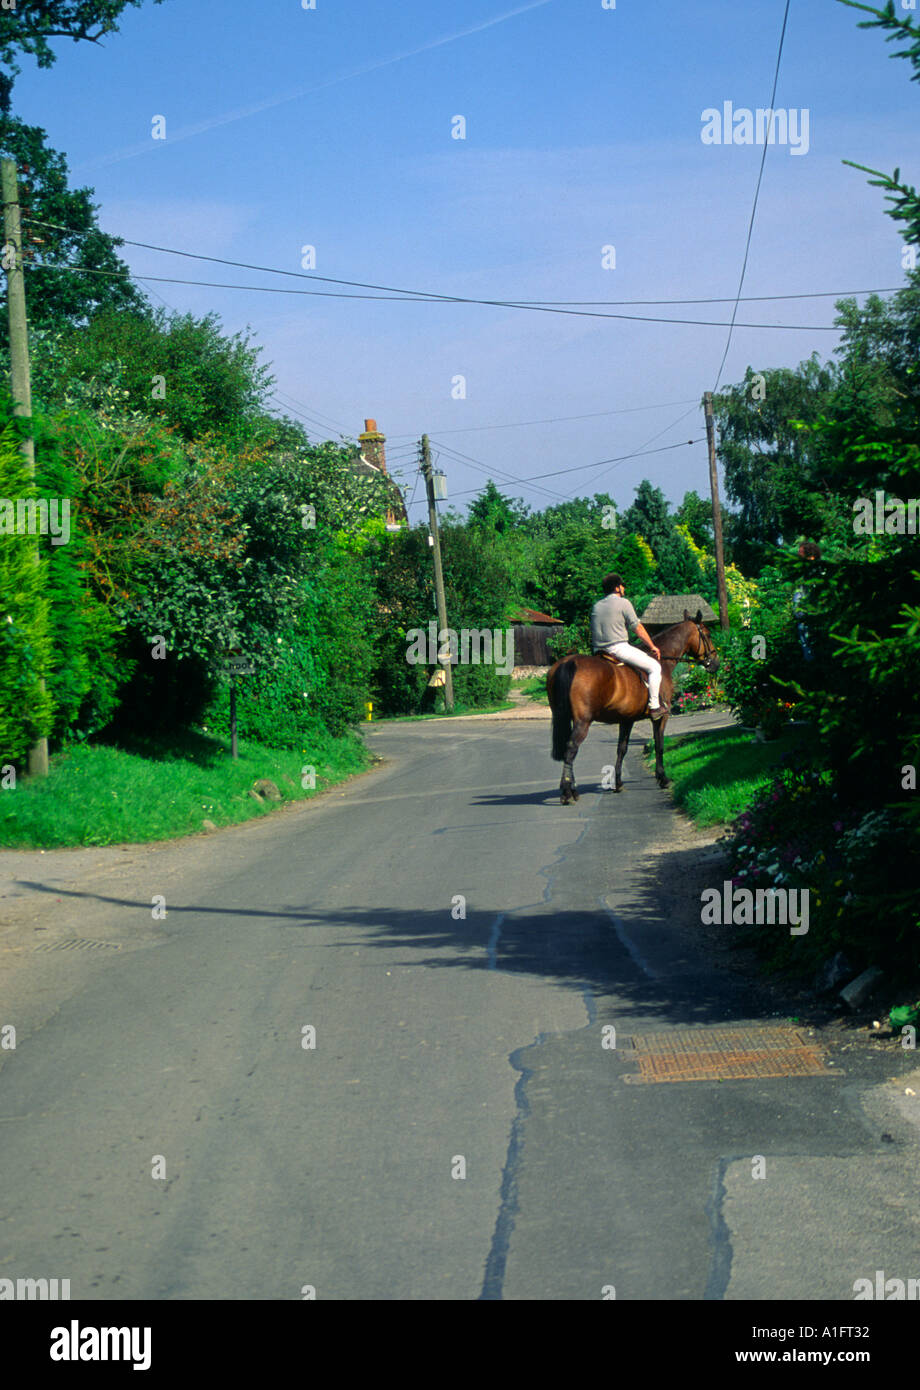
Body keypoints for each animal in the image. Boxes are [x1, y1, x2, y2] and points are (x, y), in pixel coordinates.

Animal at [547, 611, 720, 805]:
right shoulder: (661, 718)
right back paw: (567, 792)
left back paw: (571, 790)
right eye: (708, 634)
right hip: (582, 722)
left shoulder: (626, 720)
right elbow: (659, 744)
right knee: (571, 749)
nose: (715, 663)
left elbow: (622, 749)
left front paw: (618, 783)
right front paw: (663, 778)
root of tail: (568, 662)